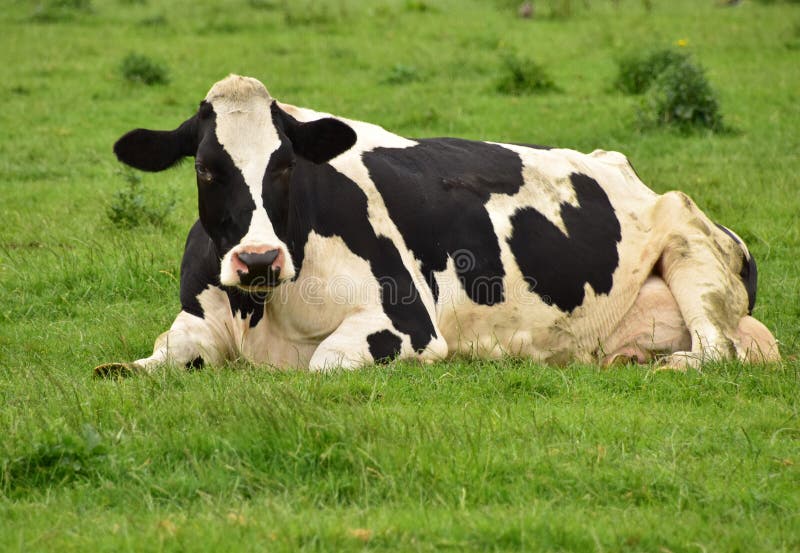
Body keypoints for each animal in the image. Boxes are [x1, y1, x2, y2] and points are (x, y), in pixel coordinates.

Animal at [94, 74, 779, 376]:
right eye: (206, 168)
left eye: (285, 164)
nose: (258, 260)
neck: (263, 311)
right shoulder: (195, 321)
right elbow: (142, 364)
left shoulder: (403, 323)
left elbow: (324, 363)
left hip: (692, 245)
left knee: (718, 349)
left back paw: (675, 364)